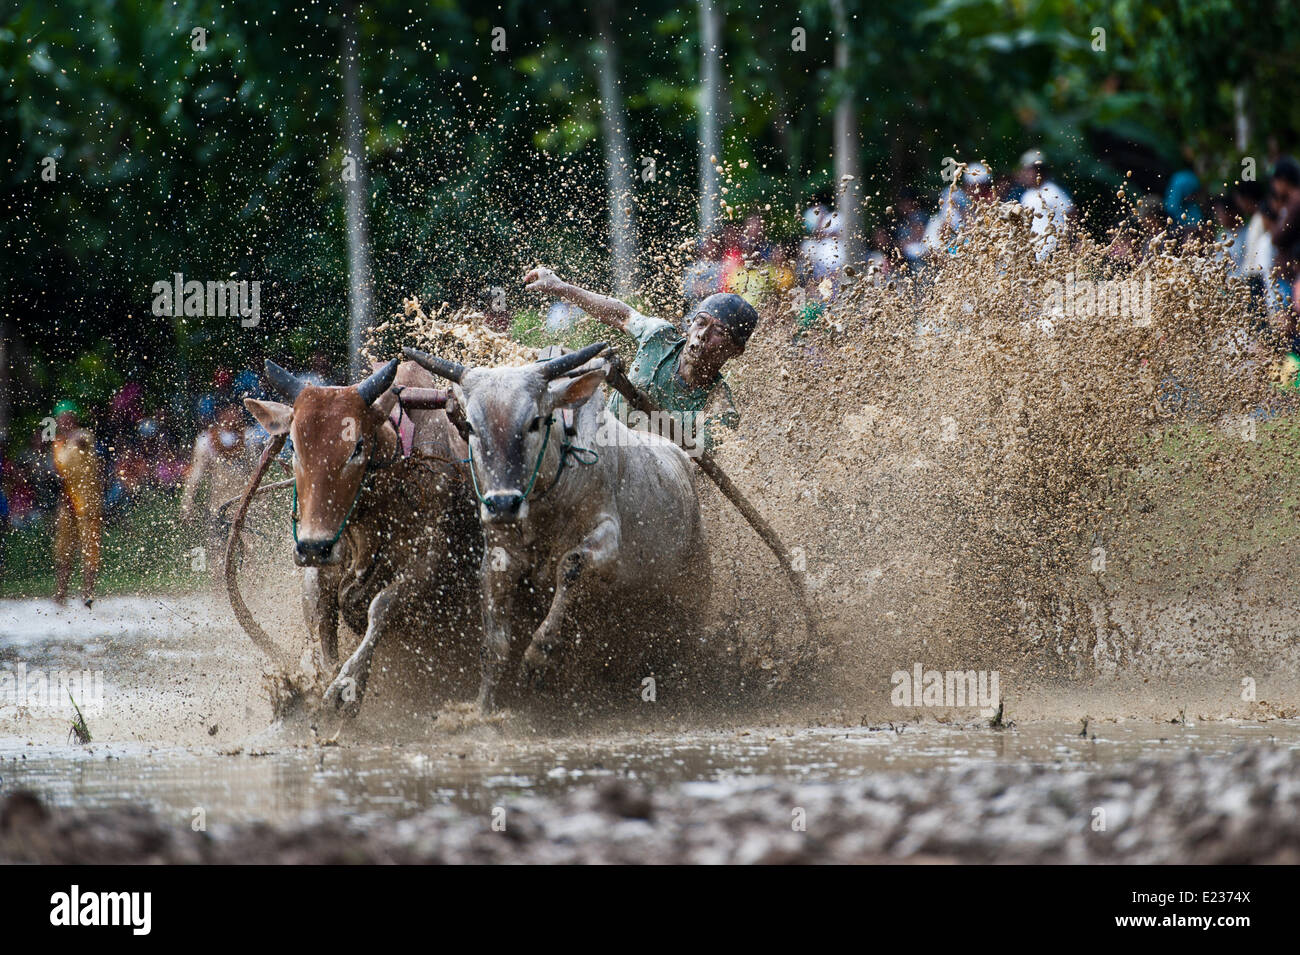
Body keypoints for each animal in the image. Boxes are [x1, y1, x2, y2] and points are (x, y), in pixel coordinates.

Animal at [243, 358, 481, 715]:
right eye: (295, 446)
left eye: (357, 447)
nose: (314, 546)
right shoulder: (320, 567)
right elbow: (322, 620)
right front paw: (316, 682)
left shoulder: (429, 565)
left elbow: (380, 606)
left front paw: (347, 686)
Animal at [402, 342, 709, 712]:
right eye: (472, 427)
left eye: (535, 421)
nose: (502, 504)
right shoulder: (498, 557)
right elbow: (494, 646)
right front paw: (483, 709)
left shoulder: (608, 537)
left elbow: (570, 565)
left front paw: (537, 656)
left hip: (694, 580)